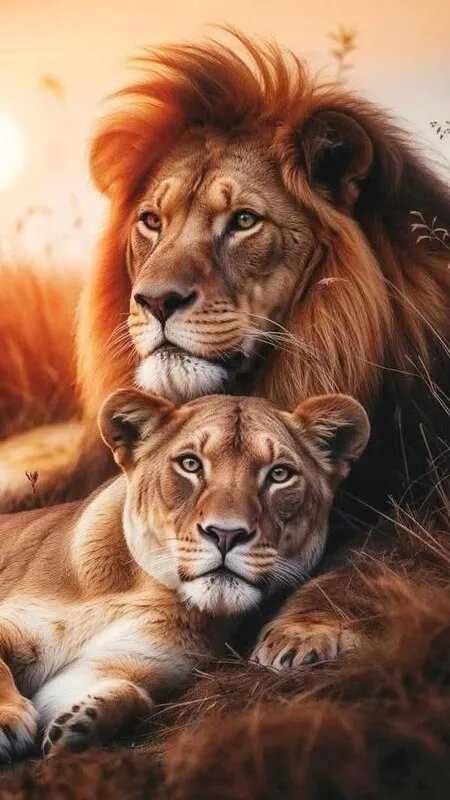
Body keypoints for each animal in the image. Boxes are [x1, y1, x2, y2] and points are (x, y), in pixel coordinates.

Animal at [0, 388, 369, 760]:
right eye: (190, 464)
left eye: (279, 474)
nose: (226, 534)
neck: (138, 587)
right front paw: (8, 722)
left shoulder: (118, 663)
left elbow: (132, 694)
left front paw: (82, 724)